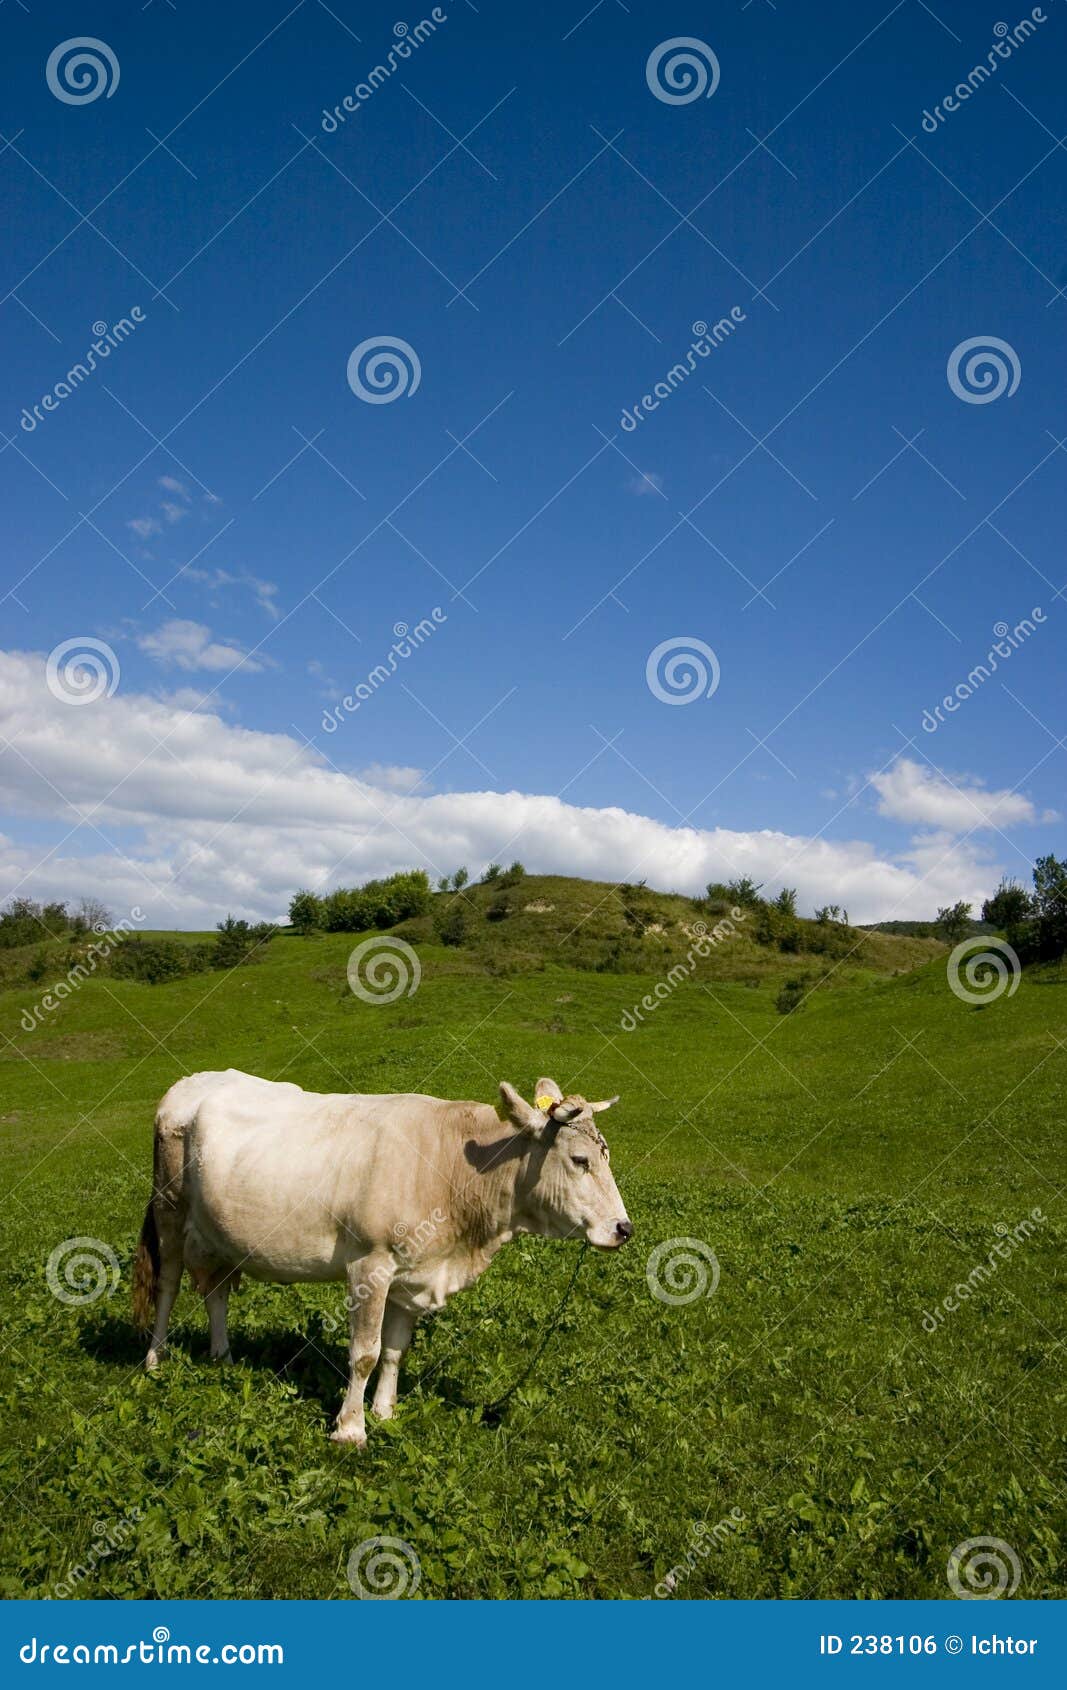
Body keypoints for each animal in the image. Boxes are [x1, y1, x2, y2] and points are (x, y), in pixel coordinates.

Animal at [132, 1069, 632, 1446]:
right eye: (581, 1160)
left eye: (607, 1154)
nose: (624, 1229)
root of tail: (189, 1083)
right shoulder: (369, 1266)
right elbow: (365, 1353)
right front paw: (350, 1429)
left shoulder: (413, 1274)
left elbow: (393, 1351)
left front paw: (385, 1411)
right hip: (169, 1210)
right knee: (169, 1284)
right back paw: (155, 1360)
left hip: (219, 1233)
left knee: (216, 1291)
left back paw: (223, 1356)